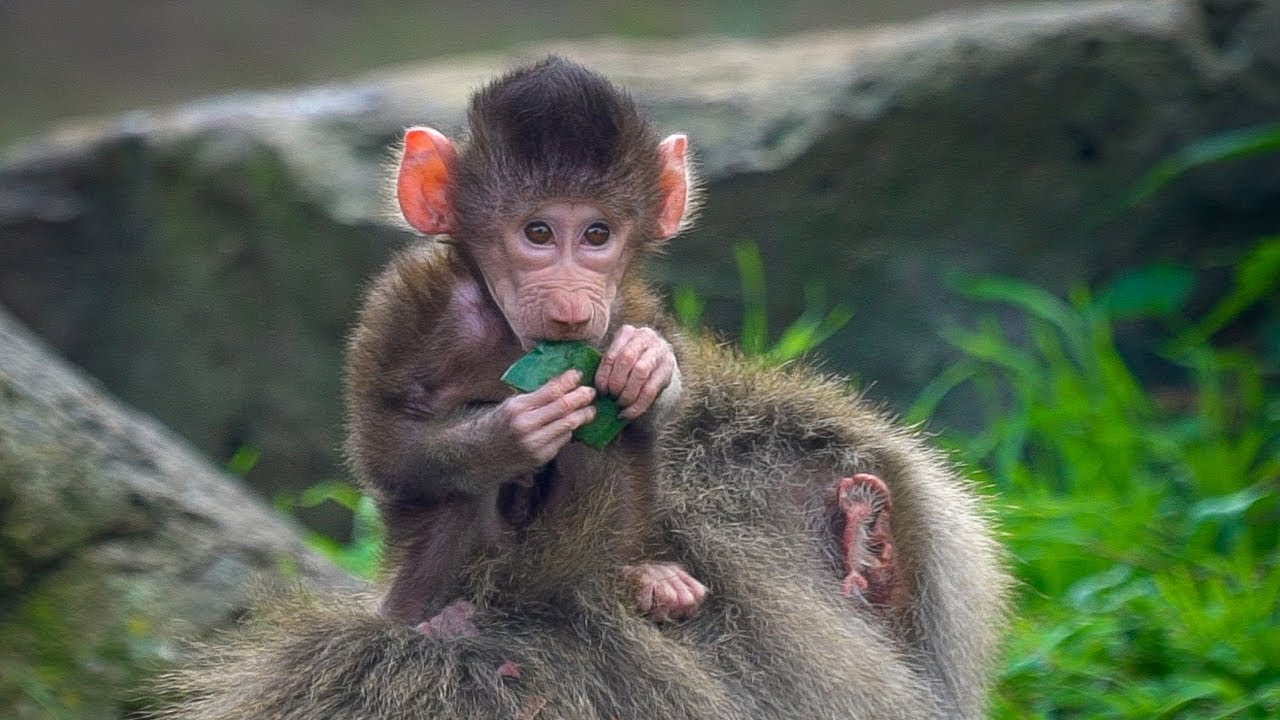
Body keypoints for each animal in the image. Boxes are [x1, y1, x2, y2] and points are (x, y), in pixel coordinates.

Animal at [344, 56, 708, 632]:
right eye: (538, 233)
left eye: (597, 234)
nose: (570, 307)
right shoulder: (406, 305)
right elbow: (387, 450)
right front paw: (508, 432)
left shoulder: (627, 302)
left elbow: (655, 401)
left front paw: (648, 363)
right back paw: (434, 620)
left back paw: (646, 579)